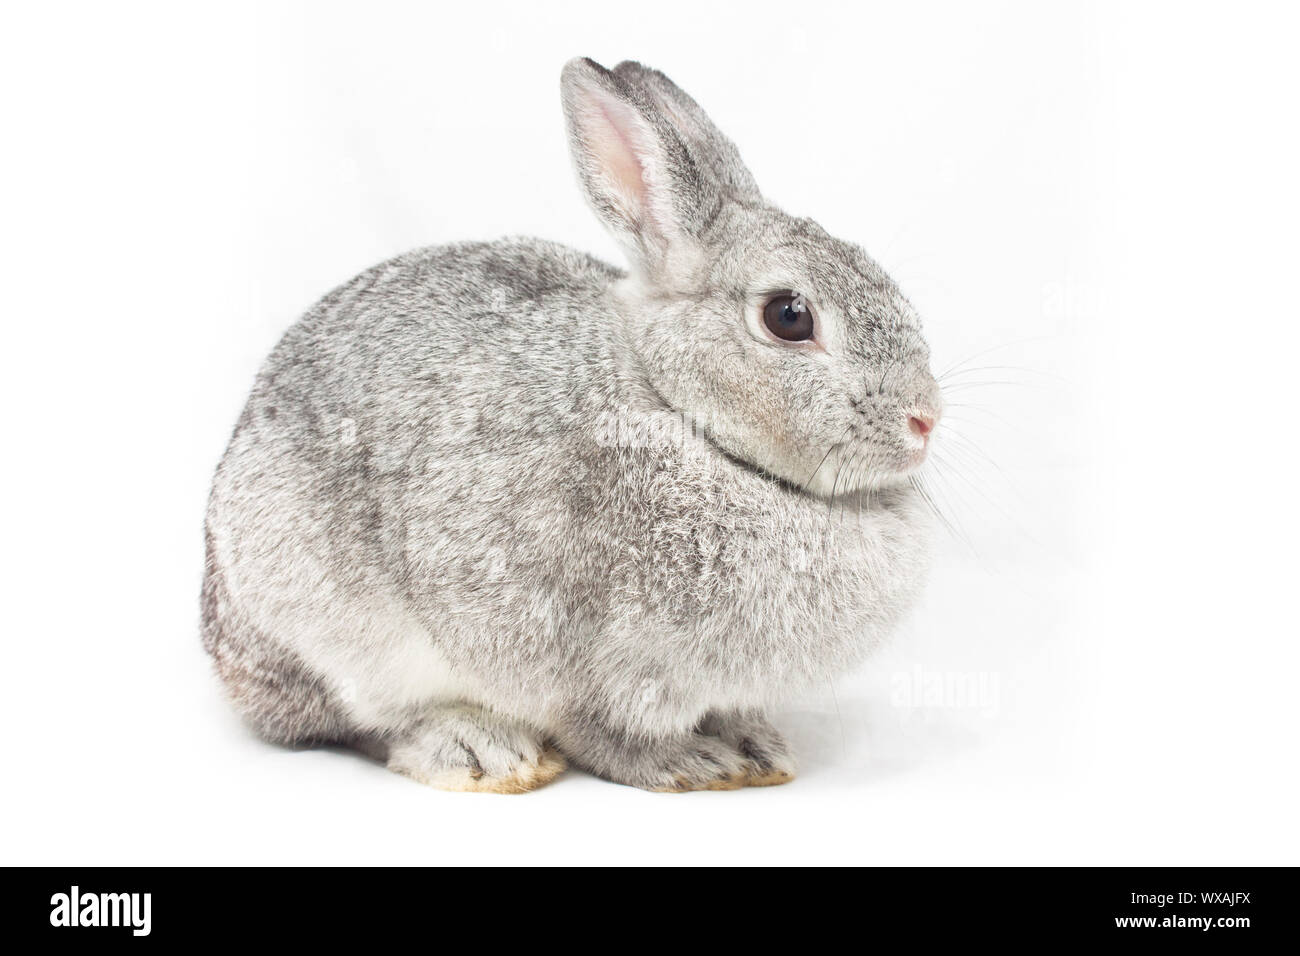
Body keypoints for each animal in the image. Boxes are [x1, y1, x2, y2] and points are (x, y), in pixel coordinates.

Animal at [202, 57, 942, 793]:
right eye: (788, 316)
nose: (925, 419)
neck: (679, 408)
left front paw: (754, 745)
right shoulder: (573, 648)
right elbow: (601, 732)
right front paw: (688, 764)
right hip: (327, 625)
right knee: (365, 717)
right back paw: (478, 750)